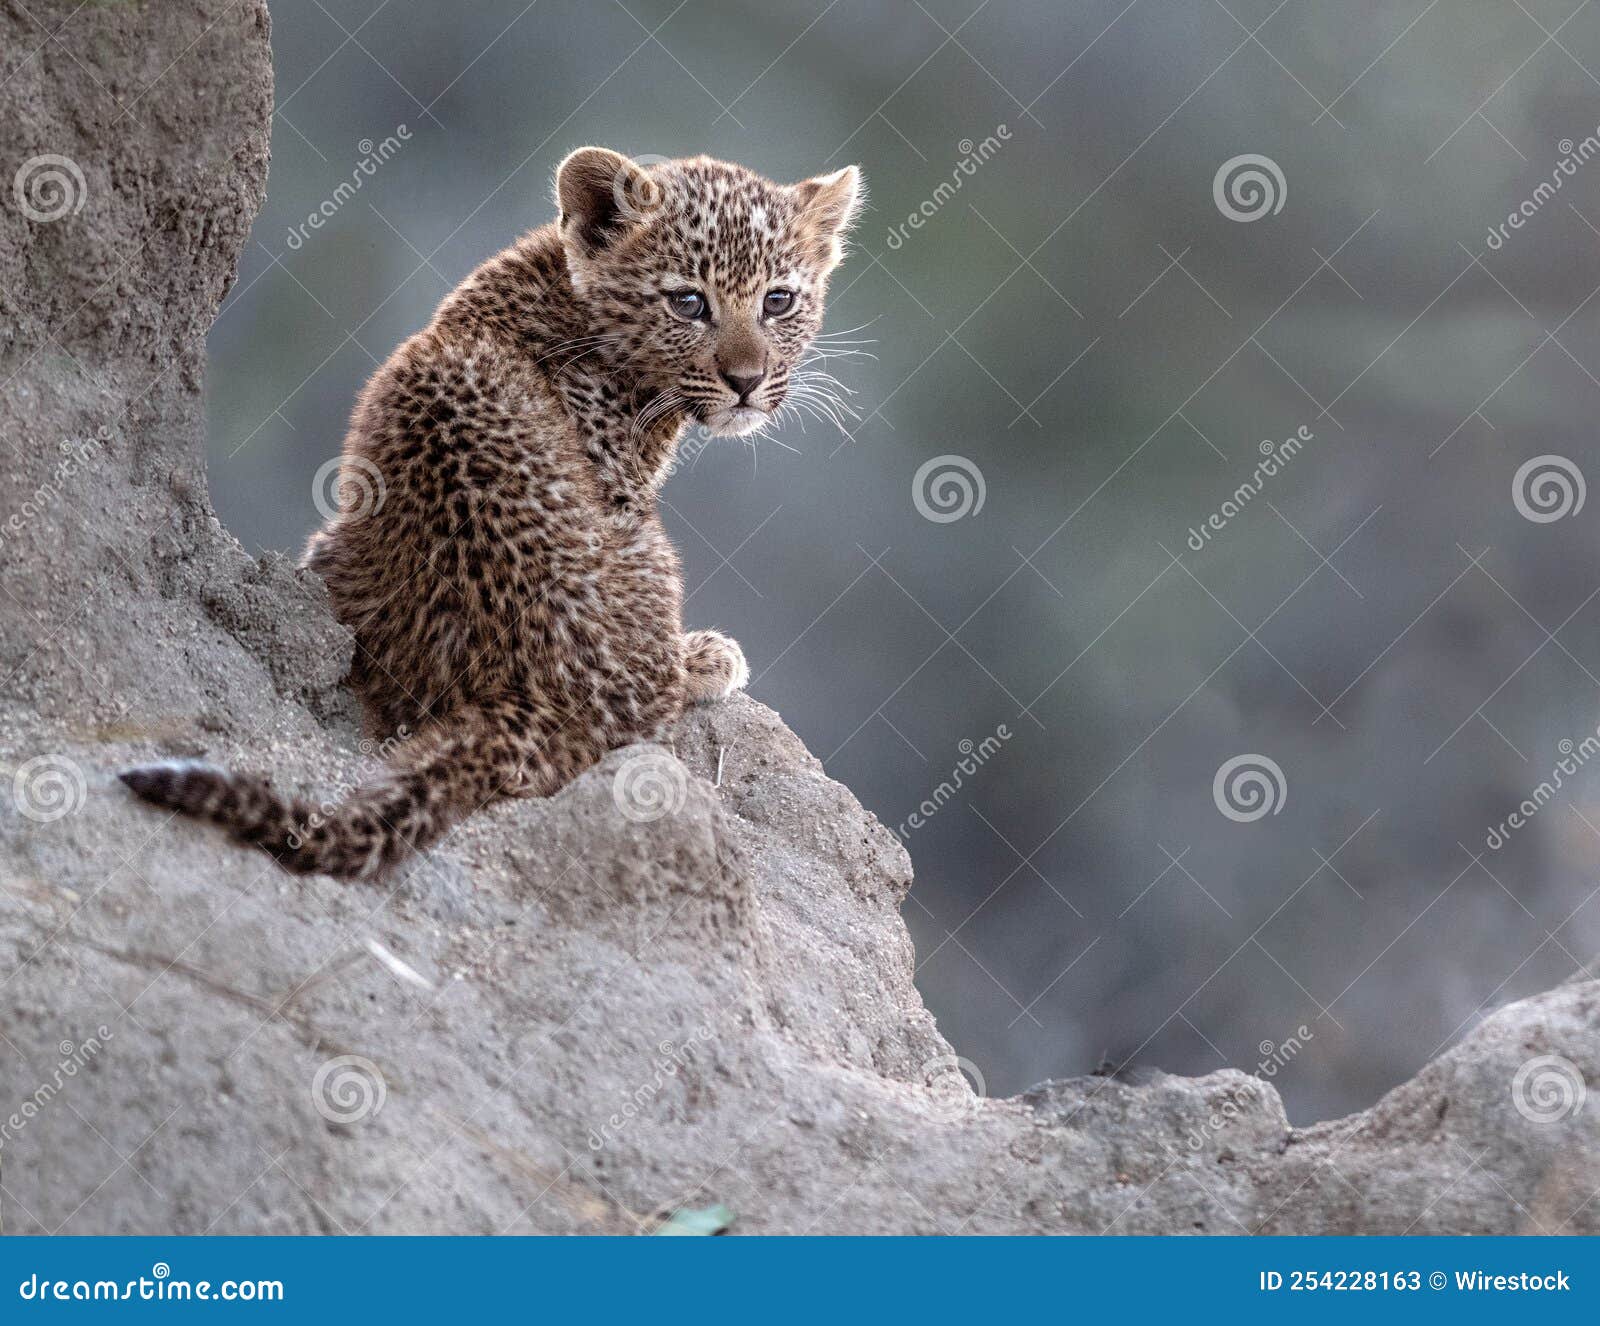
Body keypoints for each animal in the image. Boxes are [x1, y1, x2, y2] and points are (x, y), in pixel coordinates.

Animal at [120, 147, 863, 880]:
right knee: (654, 702)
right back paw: (702, 657)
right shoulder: (617, 485)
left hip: (337, 547)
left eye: (777, 301)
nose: (746, 381)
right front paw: (707, 655)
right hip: (647, 557)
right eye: (688, 302)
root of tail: (530, 701)